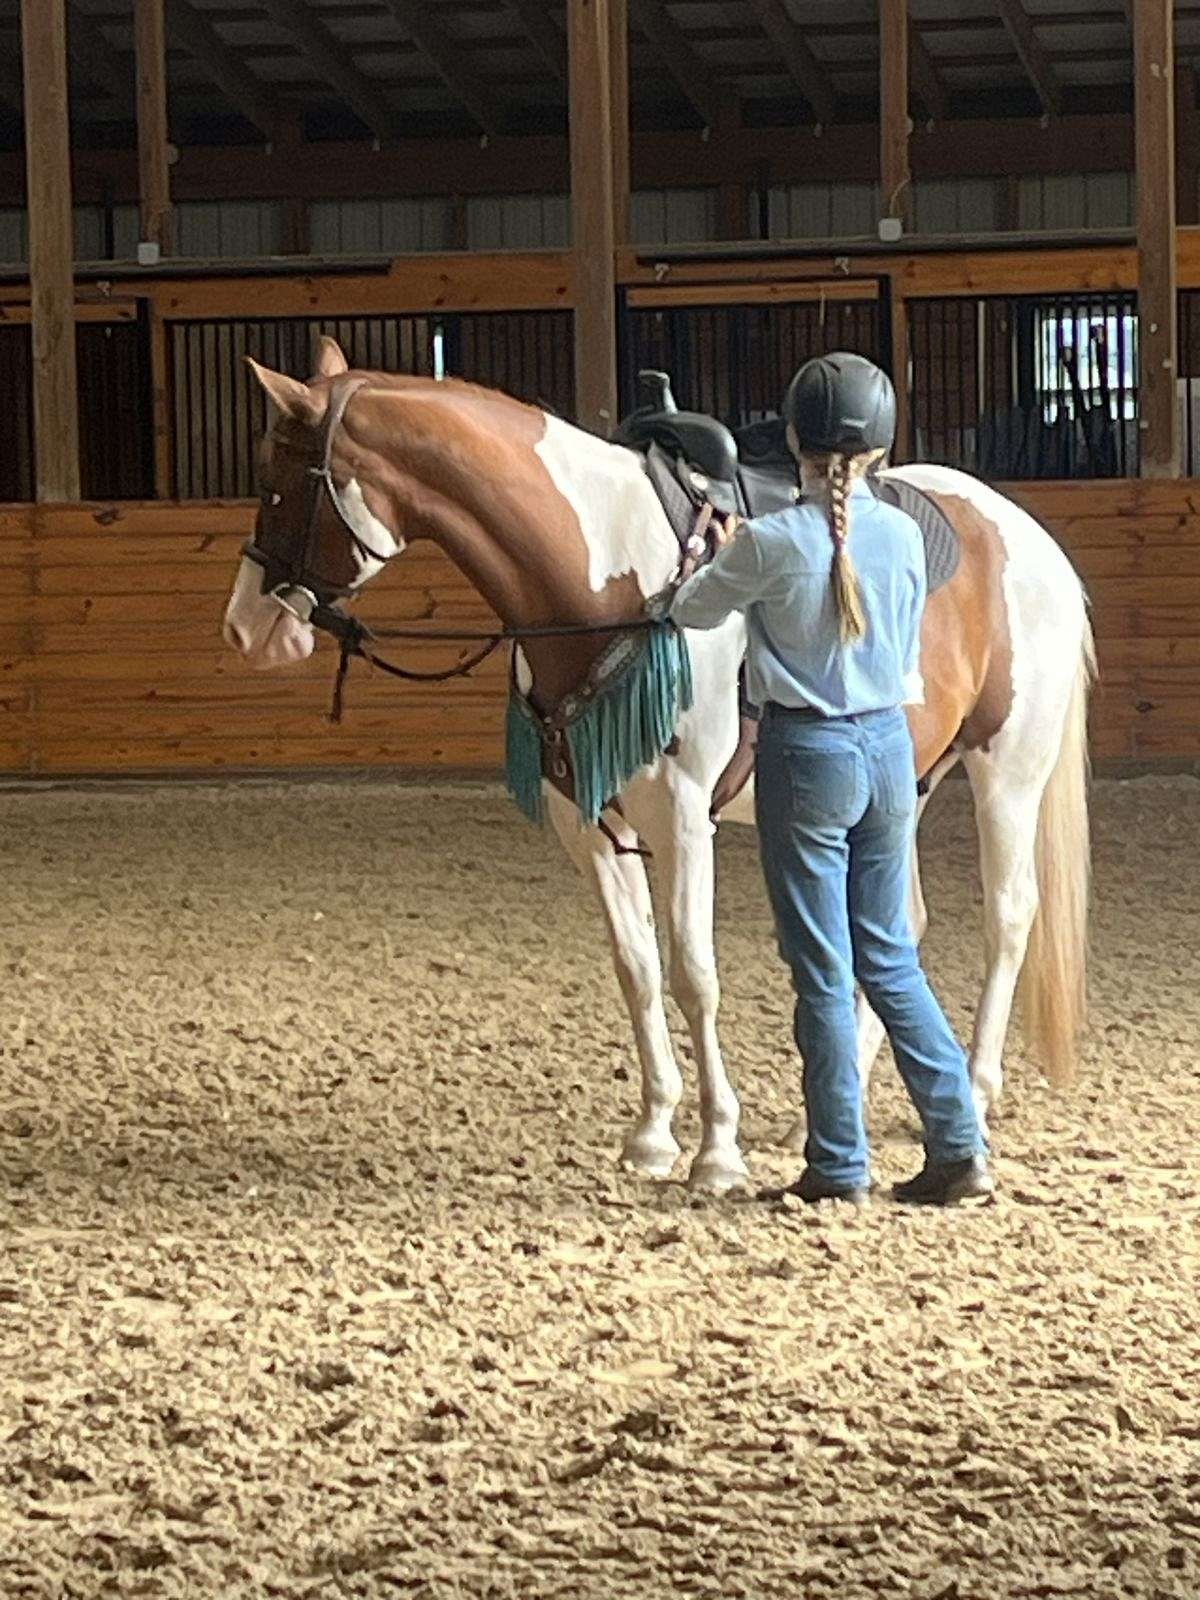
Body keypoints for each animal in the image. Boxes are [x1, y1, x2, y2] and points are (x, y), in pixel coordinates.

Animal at [222, 337, 1094, 1195]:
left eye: (277, 484)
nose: (244, 628)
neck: (608, 578)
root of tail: (1032, 540)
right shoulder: (588, 824)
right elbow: (637, 968)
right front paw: (651, 1135)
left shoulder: (683, 821)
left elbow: (692, 975)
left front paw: (717, 1152)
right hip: (906, 784)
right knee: (899, 925)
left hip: (1006, 772)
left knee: (1009, 915)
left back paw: (974, 1091)